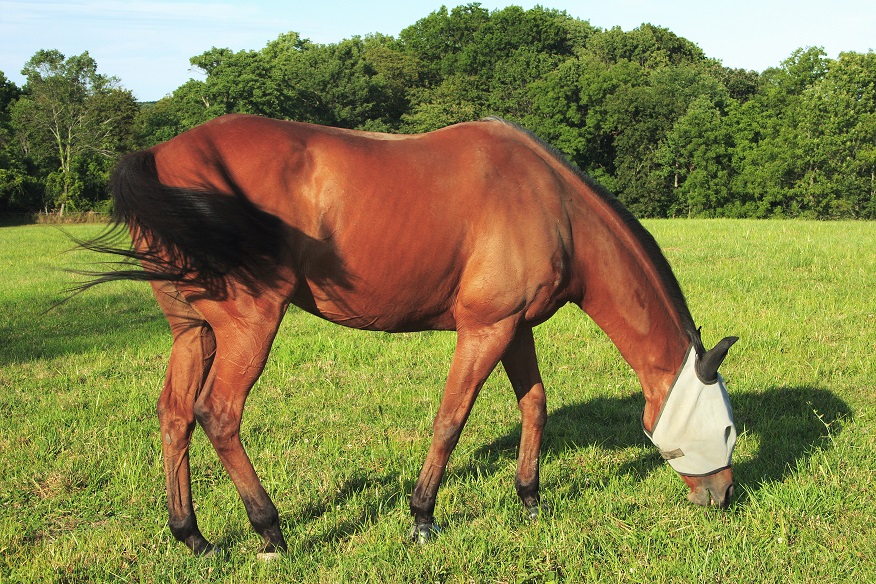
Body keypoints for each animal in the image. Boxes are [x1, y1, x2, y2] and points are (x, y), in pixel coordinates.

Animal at [84, 114, 738, 556]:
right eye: (728, 430)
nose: (724, 497)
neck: (552, 203)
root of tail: (159, 153)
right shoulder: (484, 329)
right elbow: (451, 418)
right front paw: (423, 516)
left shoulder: (514, 328)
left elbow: (535, 404)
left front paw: (529, 498)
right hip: (249, 325)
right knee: (218, 414)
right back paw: (270, 529)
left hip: (194, 331)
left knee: (175, 415)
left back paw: (192, 536)